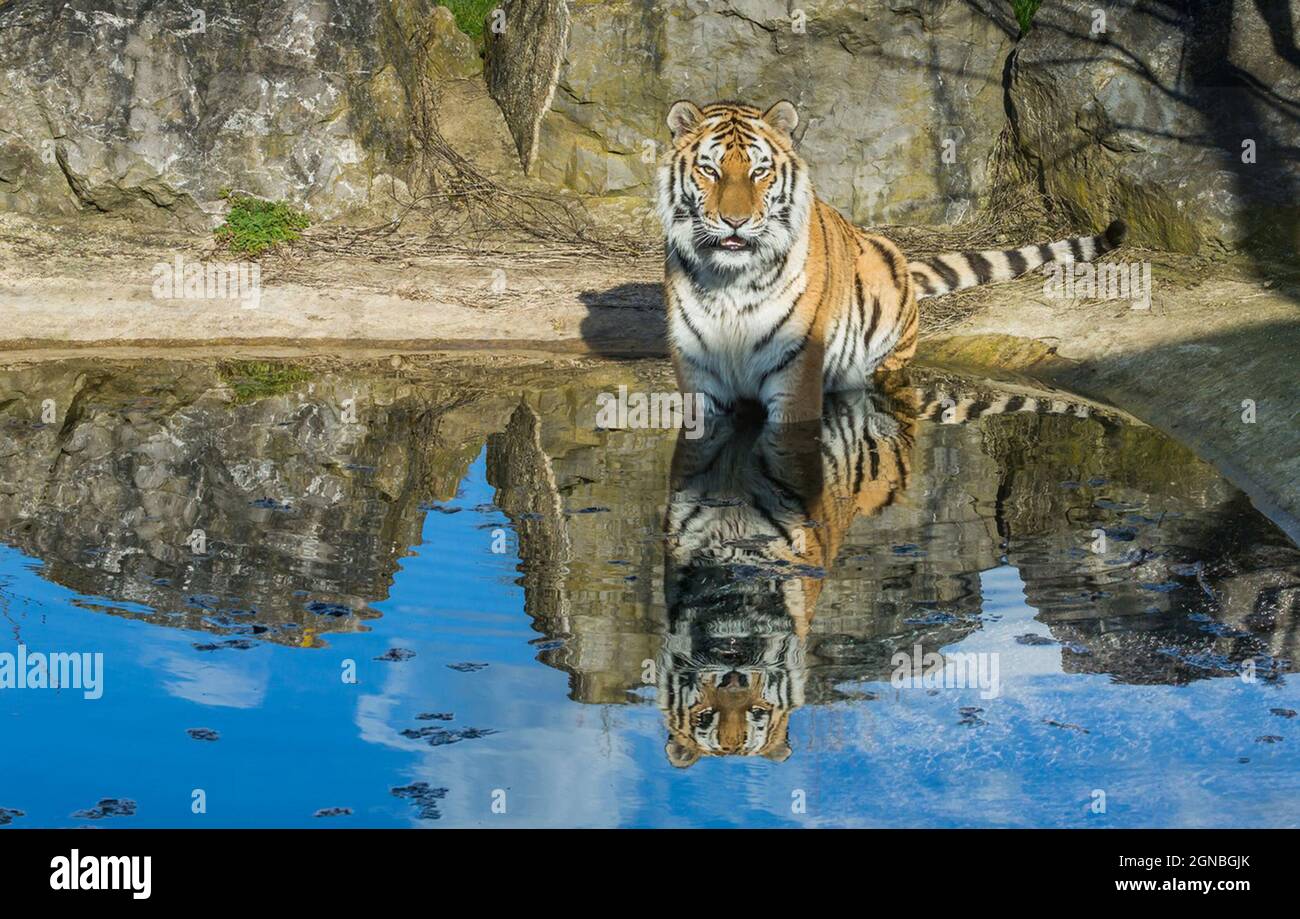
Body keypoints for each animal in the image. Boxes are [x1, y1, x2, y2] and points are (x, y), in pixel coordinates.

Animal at [657, 99, 1128, 424]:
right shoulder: (700, 376)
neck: (730, 280)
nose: (735, 221)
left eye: (759, 172)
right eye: (710, 170)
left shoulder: (793, 374)